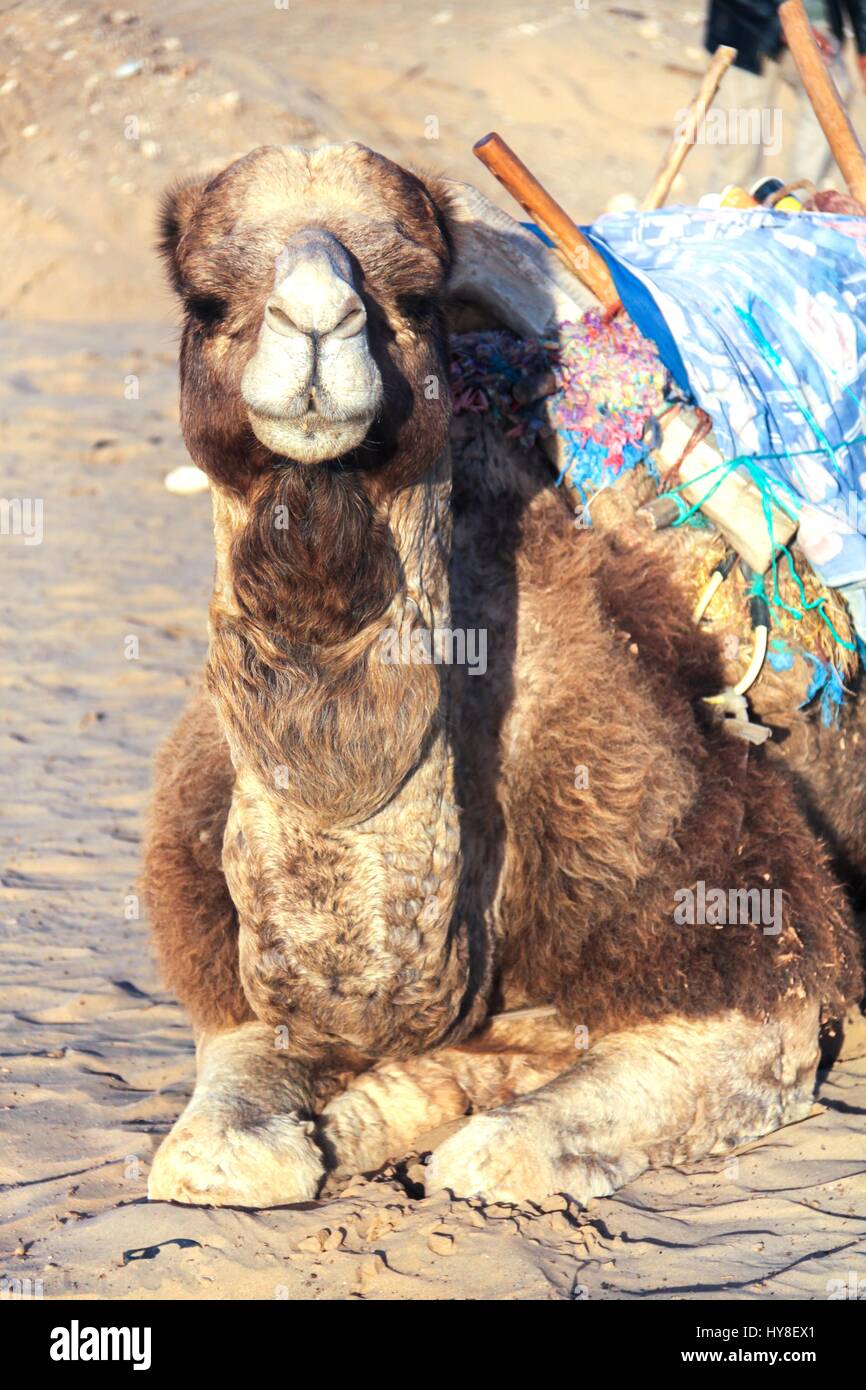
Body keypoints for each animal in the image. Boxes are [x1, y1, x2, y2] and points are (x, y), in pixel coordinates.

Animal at [143, 142, 862, 1209]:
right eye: (202, 296)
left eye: (412, 296)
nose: (317, 318)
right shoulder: (227, 975)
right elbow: (217, 1155)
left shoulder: (746, 933)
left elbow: (496, 1152)